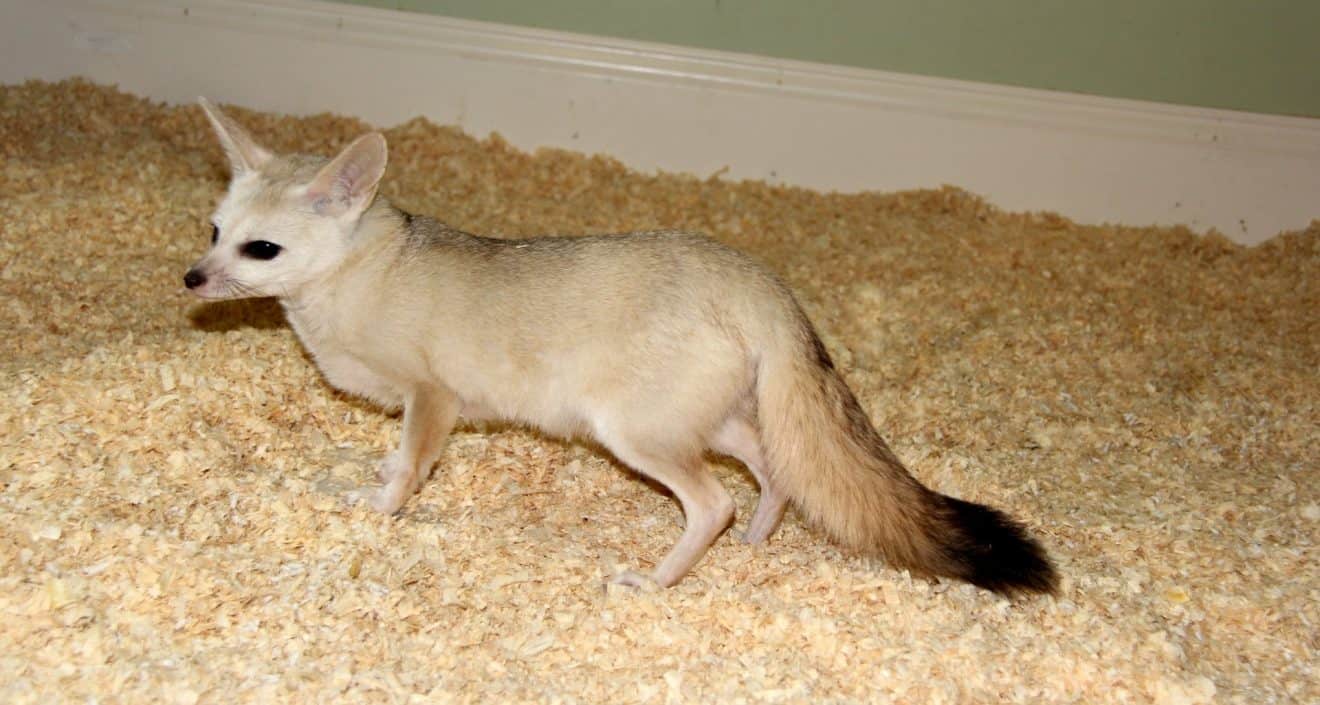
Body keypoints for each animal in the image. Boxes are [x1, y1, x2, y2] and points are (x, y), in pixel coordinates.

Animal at [183, 98, 1058, 595]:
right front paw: (373, 477)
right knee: (773, 471)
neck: (364, 269)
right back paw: (755, 543)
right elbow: (396, 456)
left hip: (637, 435)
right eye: (215, 231)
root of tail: (756, 278)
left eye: (260, 250)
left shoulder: (433, 398)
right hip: (714, 421)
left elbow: (410, 467)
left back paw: (660, 579)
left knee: (713, 500)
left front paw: (379, 507)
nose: (192, 278)